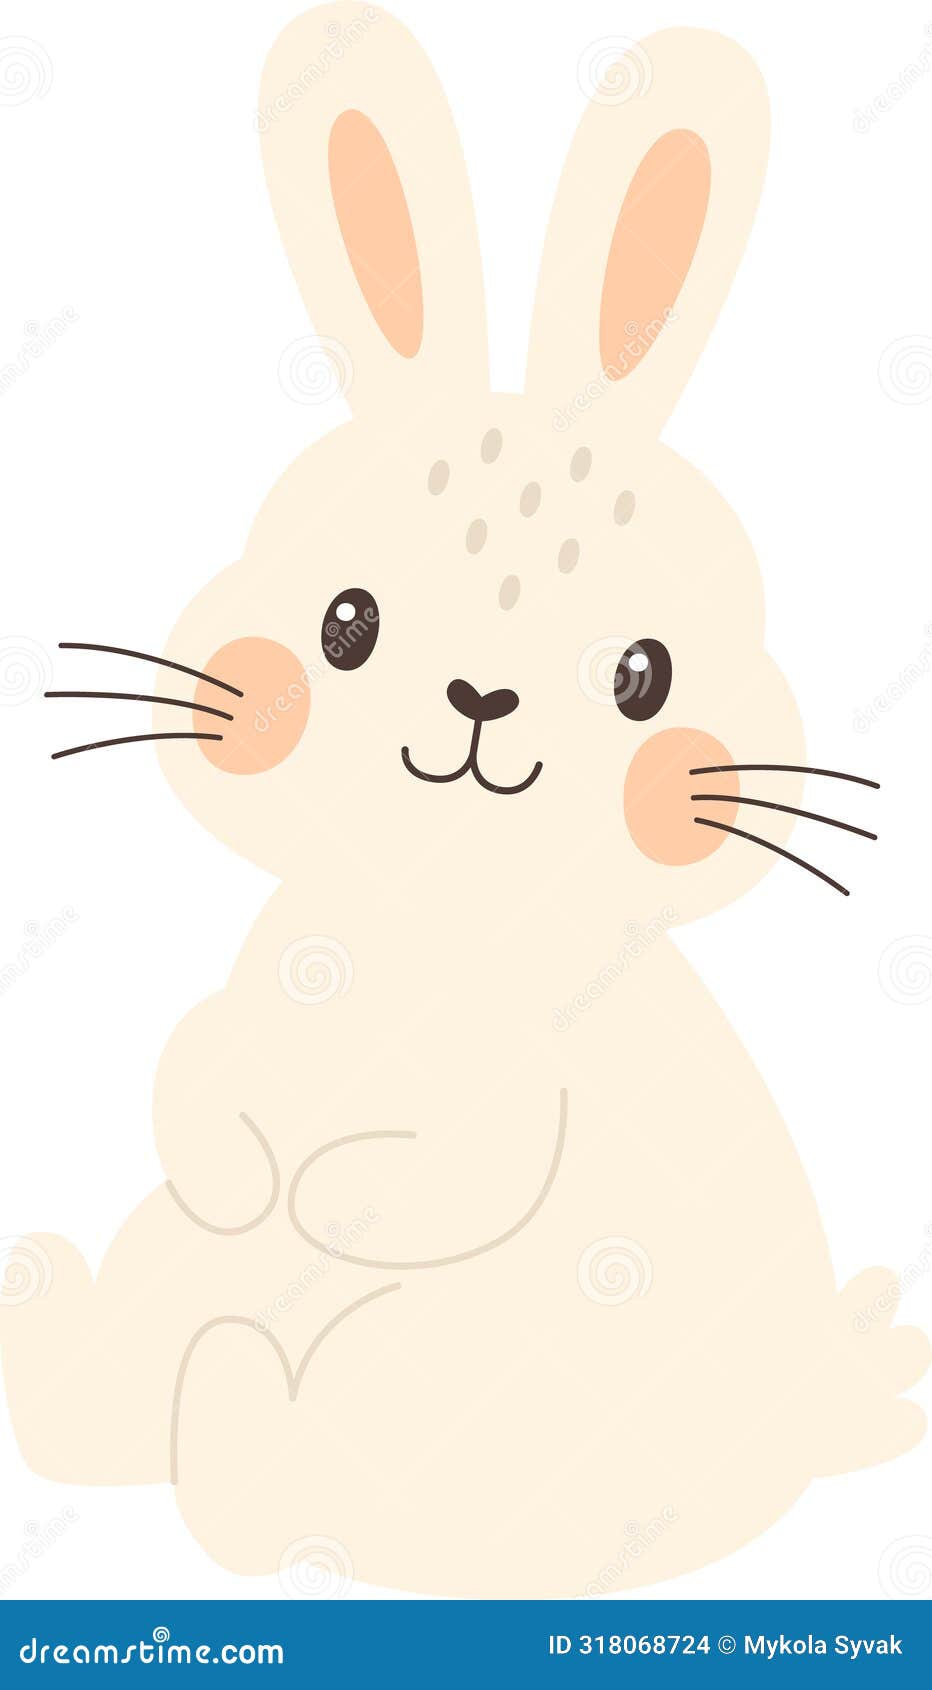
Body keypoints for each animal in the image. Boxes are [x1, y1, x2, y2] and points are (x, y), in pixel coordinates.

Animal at [2, 5, 928, 1598]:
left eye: (641, 673)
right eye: (346, 624)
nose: (481, 702)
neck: (426, 929)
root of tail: (810, 1417)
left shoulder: (517, 1088)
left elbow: (456, 1167)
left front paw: (324, 1199)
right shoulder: (270, 982)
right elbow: (196, 1067)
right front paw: (250, 1171)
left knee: (288, 1485)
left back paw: (229, 1397)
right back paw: (58, 1323)